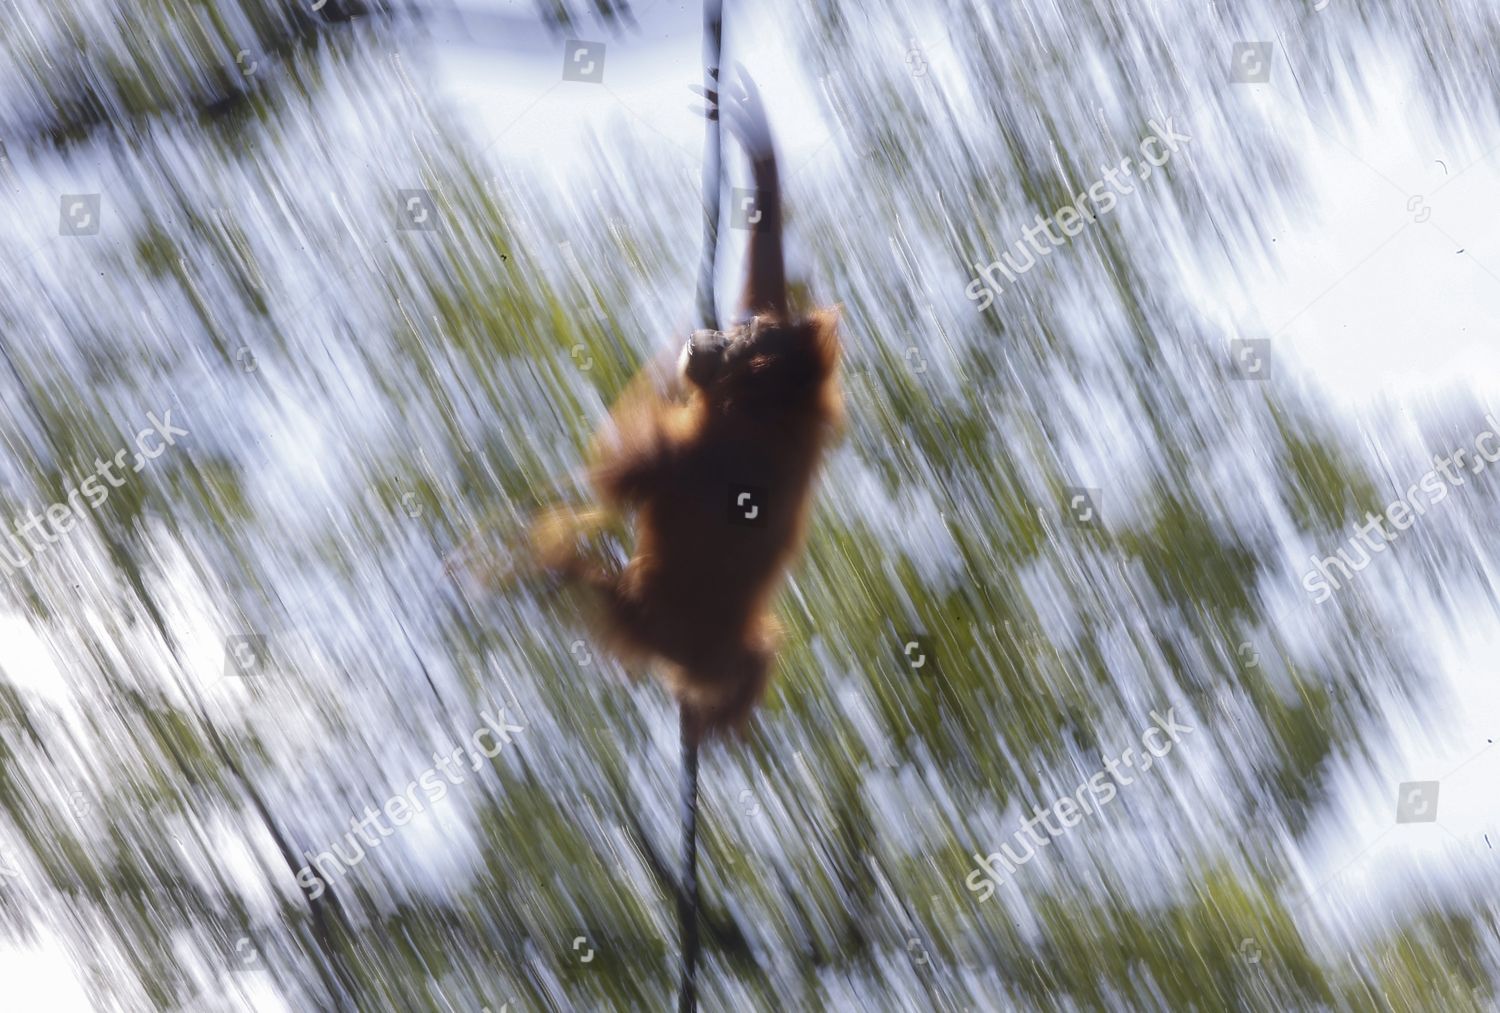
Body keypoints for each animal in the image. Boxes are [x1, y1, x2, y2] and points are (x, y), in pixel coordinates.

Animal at [530, 68, 842, 743]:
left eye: (738, 347)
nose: (715, 341)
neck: (764, 411)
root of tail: (698, 660)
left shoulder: (689, 451)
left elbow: (609, 474)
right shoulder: (811, 414)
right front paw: (760, 157)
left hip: (648, 623)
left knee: (591, 575)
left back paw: (535, 566)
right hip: (734, 651)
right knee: (758, 658)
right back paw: (715, 717)